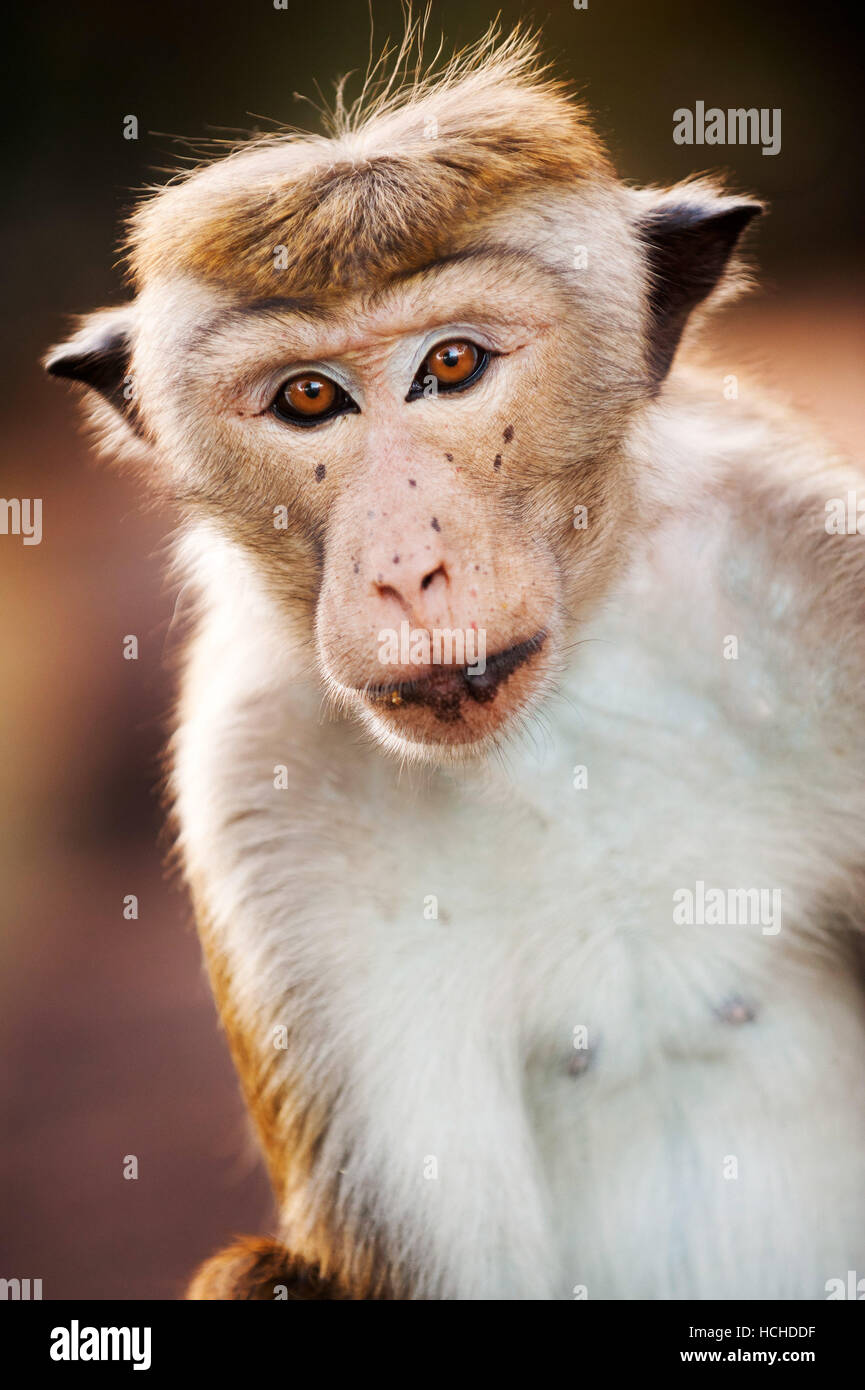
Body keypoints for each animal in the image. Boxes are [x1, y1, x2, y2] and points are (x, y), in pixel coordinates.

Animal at [45, 25, 865, 1300]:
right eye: (309, 396)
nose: (403, 569)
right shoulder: (261, 775)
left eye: (455, 364)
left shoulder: (821, 576)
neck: (554, 720)